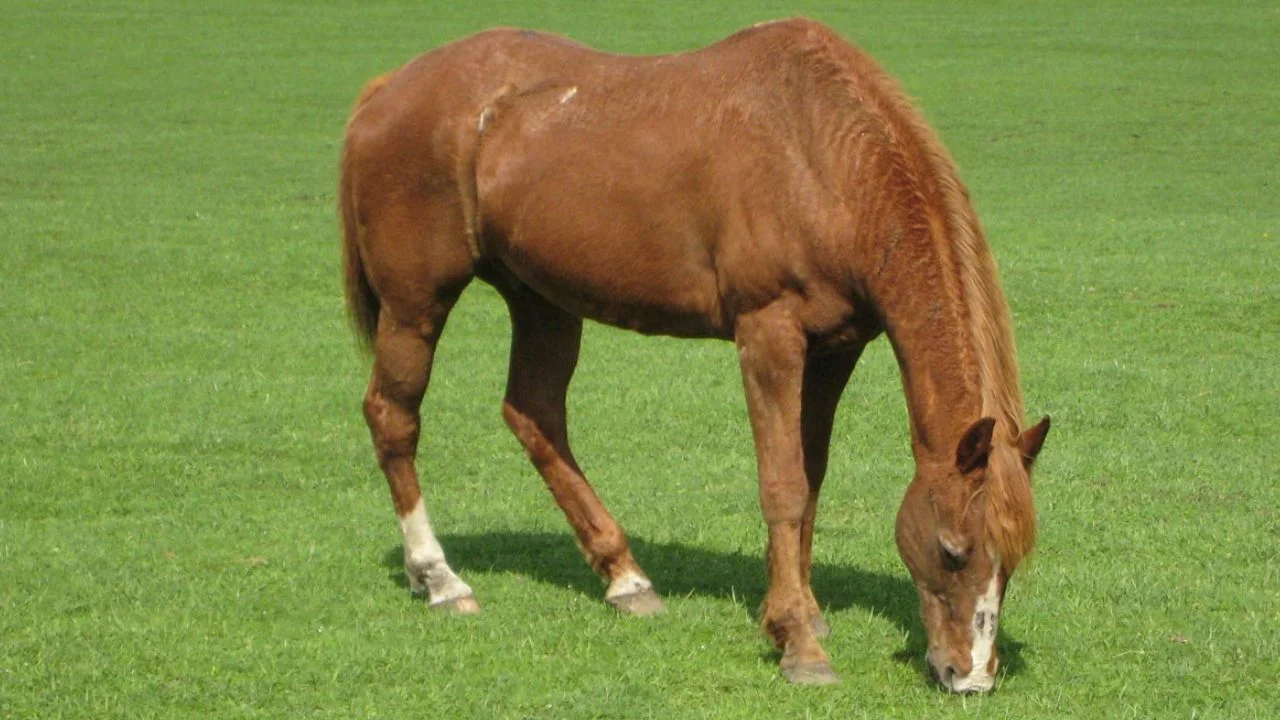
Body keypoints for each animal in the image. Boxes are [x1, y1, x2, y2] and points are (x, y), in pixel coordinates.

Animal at [338, 18, 1050, 692]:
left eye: (1012, 561)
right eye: (953, 550)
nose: (970, 676)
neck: (819, 154)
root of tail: (386, 90)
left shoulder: (834, 350)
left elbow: (811, 474)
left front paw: (803, 607)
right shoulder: (768, 334)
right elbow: (783, 484)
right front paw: (797, 642)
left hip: (541, 300)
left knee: (533, 415)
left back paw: (625, 577)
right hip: (415, 305)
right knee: (394, 418)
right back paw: (439, 579)